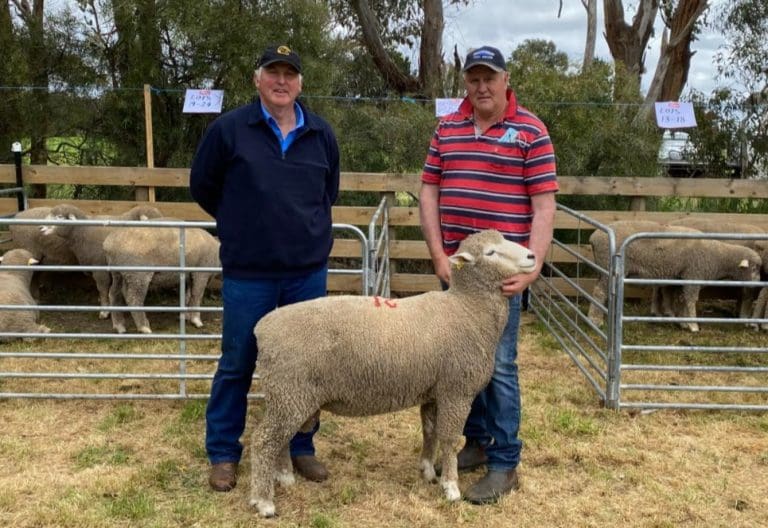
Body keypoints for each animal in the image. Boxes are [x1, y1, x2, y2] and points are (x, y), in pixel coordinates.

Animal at [247, 229, 536, 518]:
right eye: (490, 253)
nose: (532, 256)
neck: (466, 307)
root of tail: (262, 327)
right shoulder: (456, 391)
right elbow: (449, 438)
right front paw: (451, 486)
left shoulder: (434, 391)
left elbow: (430, 432)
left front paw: (427, 470)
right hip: (290, 392)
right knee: (263, 441)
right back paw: (263, 501)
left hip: (288, 396)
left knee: (279, 439)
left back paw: (284, 477)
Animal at [588, 220, 762, 332]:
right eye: (754, 268)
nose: (760, 284)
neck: (717, 256)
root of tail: (594, 237)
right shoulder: (693, 275)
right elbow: (690, 301)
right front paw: (693, 326)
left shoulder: (682, 277)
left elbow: (682, 300)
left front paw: (682, 322)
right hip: (607, 266)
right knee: (599, 292)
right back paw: (595, 321)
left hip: (602, 269)